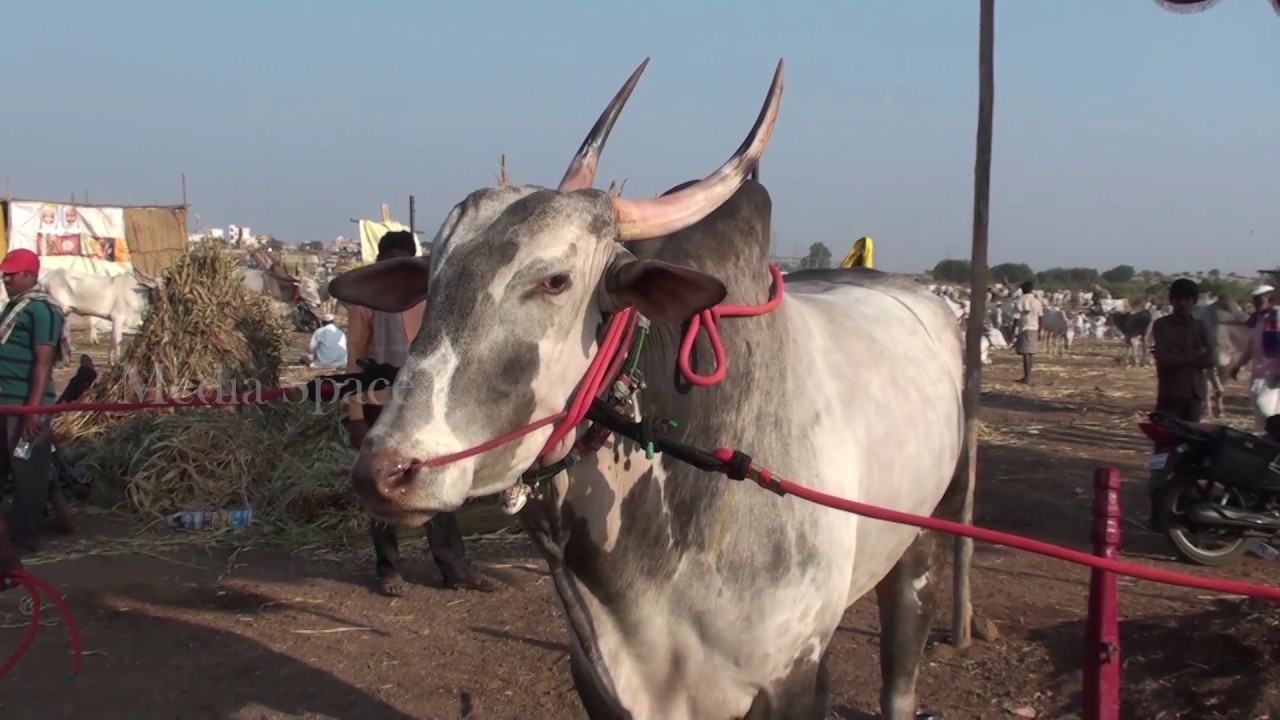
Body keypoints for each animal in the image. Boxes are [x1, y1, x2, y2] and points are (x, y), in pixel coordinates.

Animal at [329, 60, 964, 720]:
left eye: (555, 281)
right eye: (431, 278)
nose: (387, 472)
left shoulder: (796, 678)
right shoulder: (596, 677)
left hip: (925, 541)